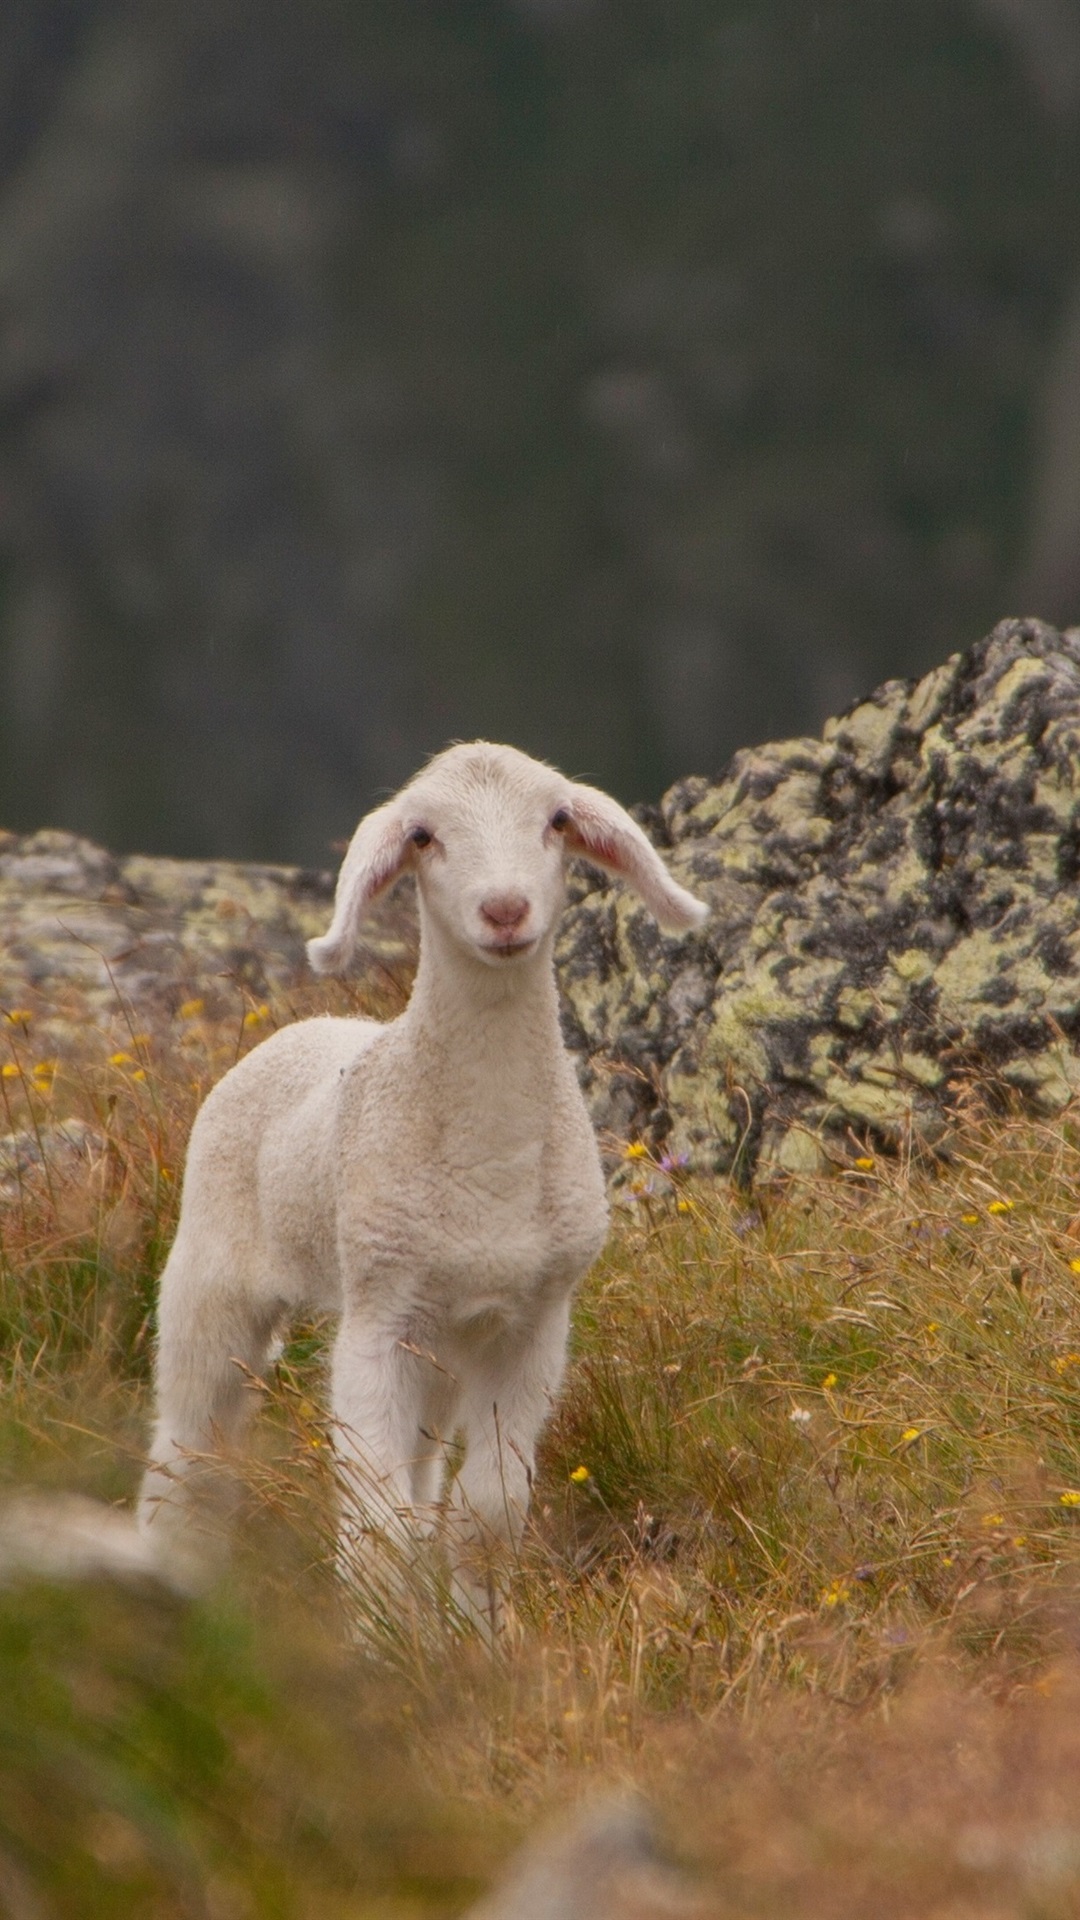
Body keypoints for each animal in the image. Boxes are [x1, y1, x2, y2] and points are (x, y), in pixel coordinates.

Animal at [137, 742, 707, 1630]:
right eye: (423, 836)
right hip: (212, 1280)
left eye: (557, 820)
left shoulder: (533, 1322)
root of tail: (304, 1027)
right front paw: (382, 1642)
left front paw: (475, 1636)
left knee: (419, 1472)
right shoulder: (377, 1318)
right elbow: (378, 1526)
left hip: (441, 1349)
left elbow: (488, 1513)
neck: (492, 1162)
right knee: (187, 1447)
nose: (504, 909)